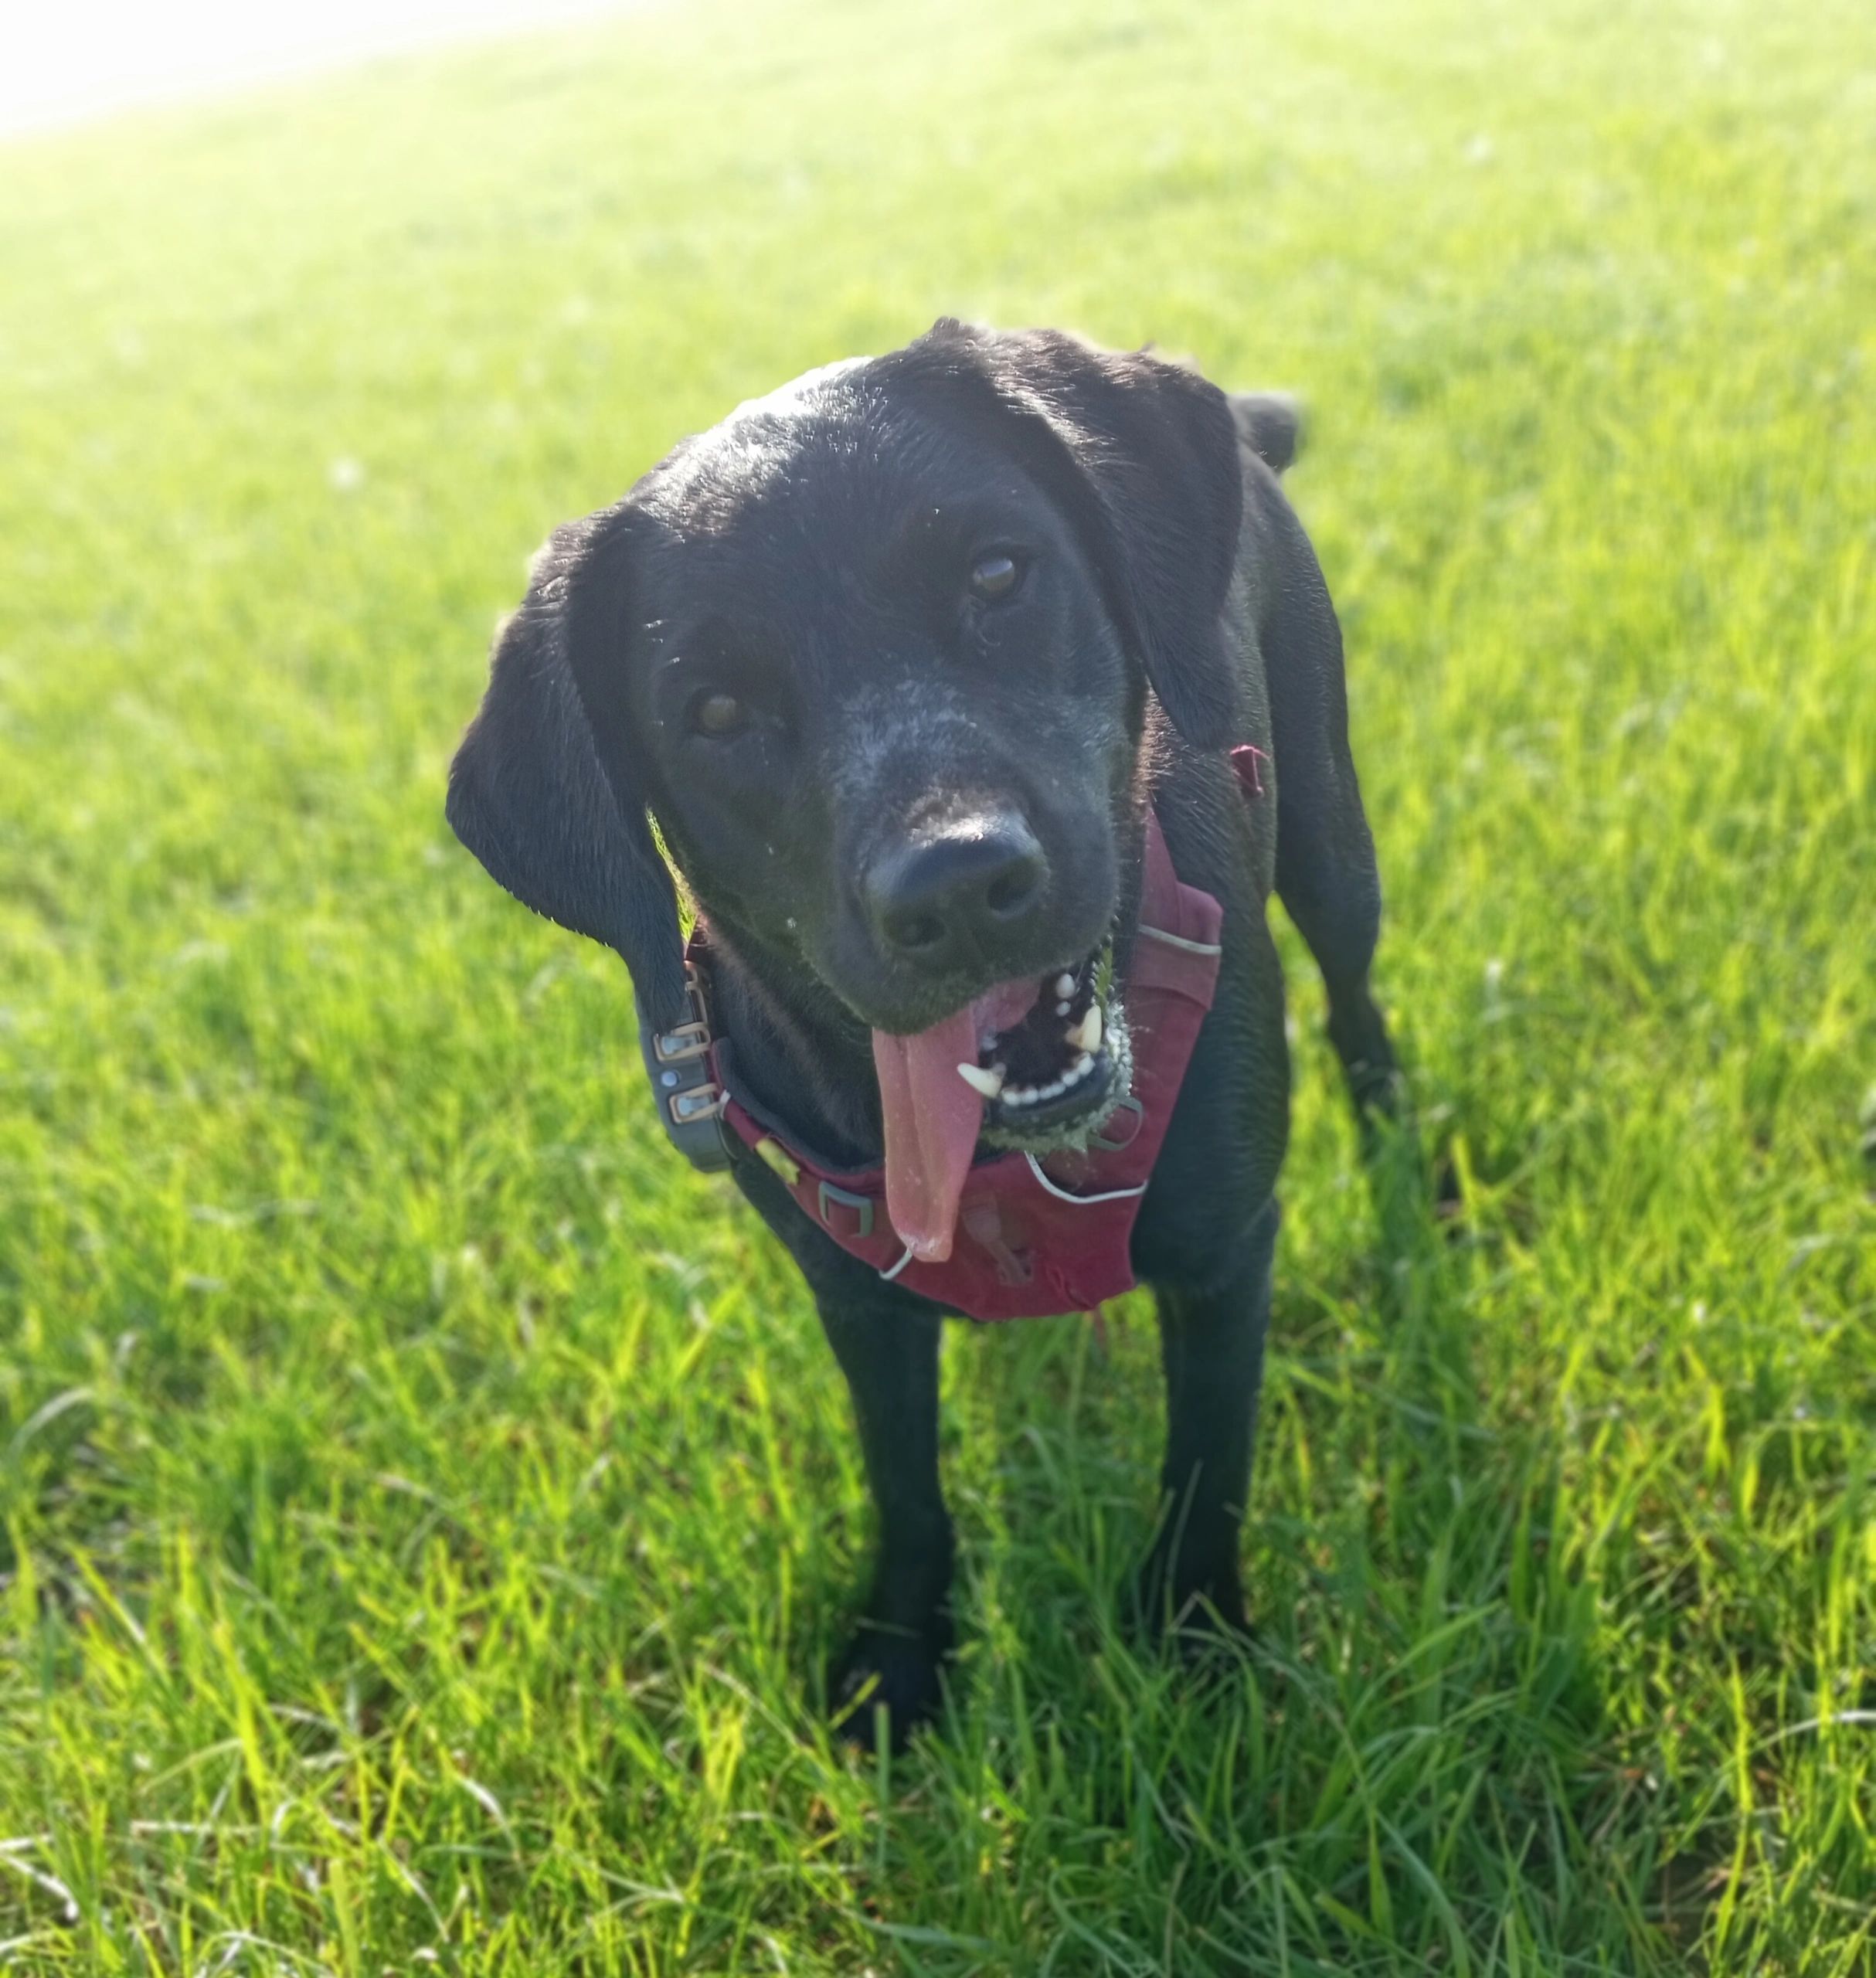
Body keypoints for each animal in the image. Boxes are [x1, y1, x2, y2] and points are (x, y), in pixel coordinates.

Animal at [447, 324, 1401, 1749]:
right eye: (714, 712)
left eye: (997, 573)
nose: (954, 886)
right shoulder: (855, 1298)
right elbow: (902, 1480)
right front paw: (902, 1657)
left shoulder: (1226, 1251)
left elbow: (1206, 1464)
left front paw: (1194, 1644)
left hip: (1334, 841)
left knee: (1355, 994)